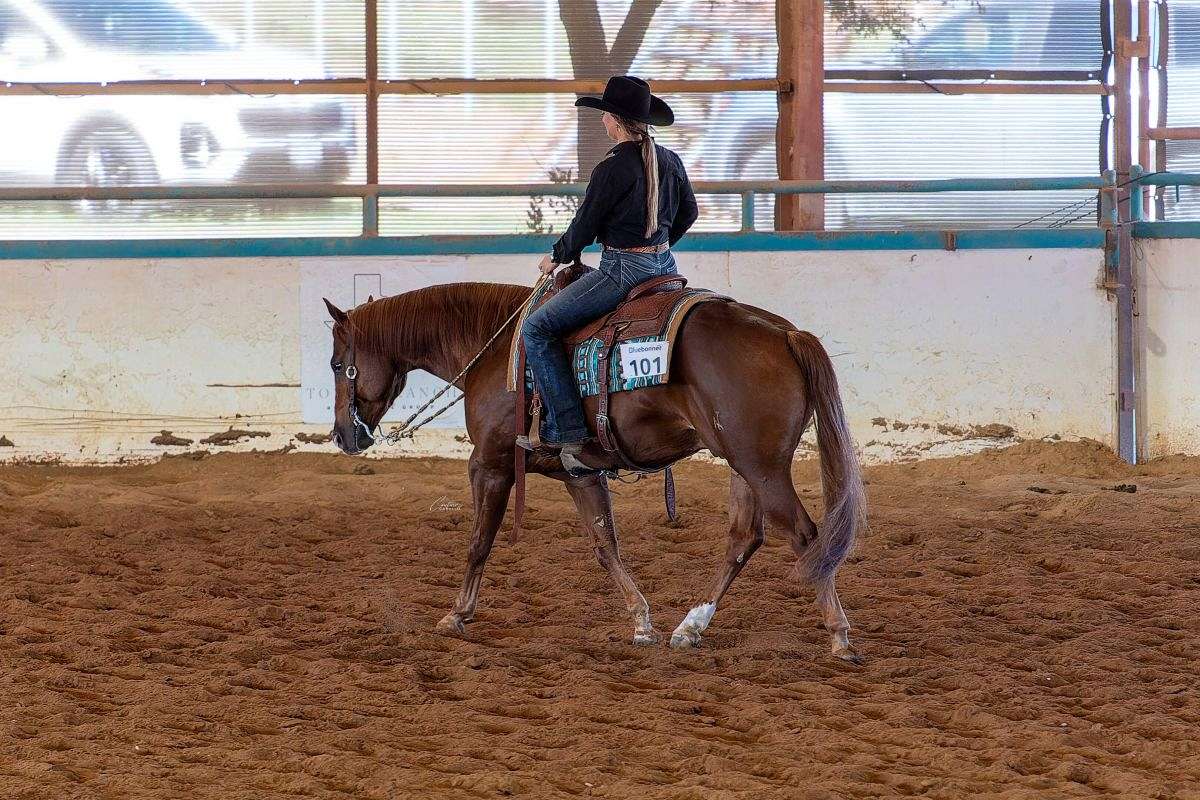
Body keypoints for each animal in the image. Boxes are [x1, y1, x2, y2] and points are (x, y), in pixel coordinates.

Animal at [322, 279, 866, 661]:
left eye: (335, 363)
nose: (344, 437)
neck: (496, 351)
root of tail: (786, 333)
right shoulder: (579, 472)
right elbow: (605, 545)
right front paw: (641, 621)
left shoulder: (490, 464)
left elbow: (480, 541)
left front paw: (456, 615)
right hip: (742, 466)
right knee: (743, 538)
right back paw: (690, 626)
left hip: (763, 466)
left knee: (804, 535)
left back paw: (838, 635)